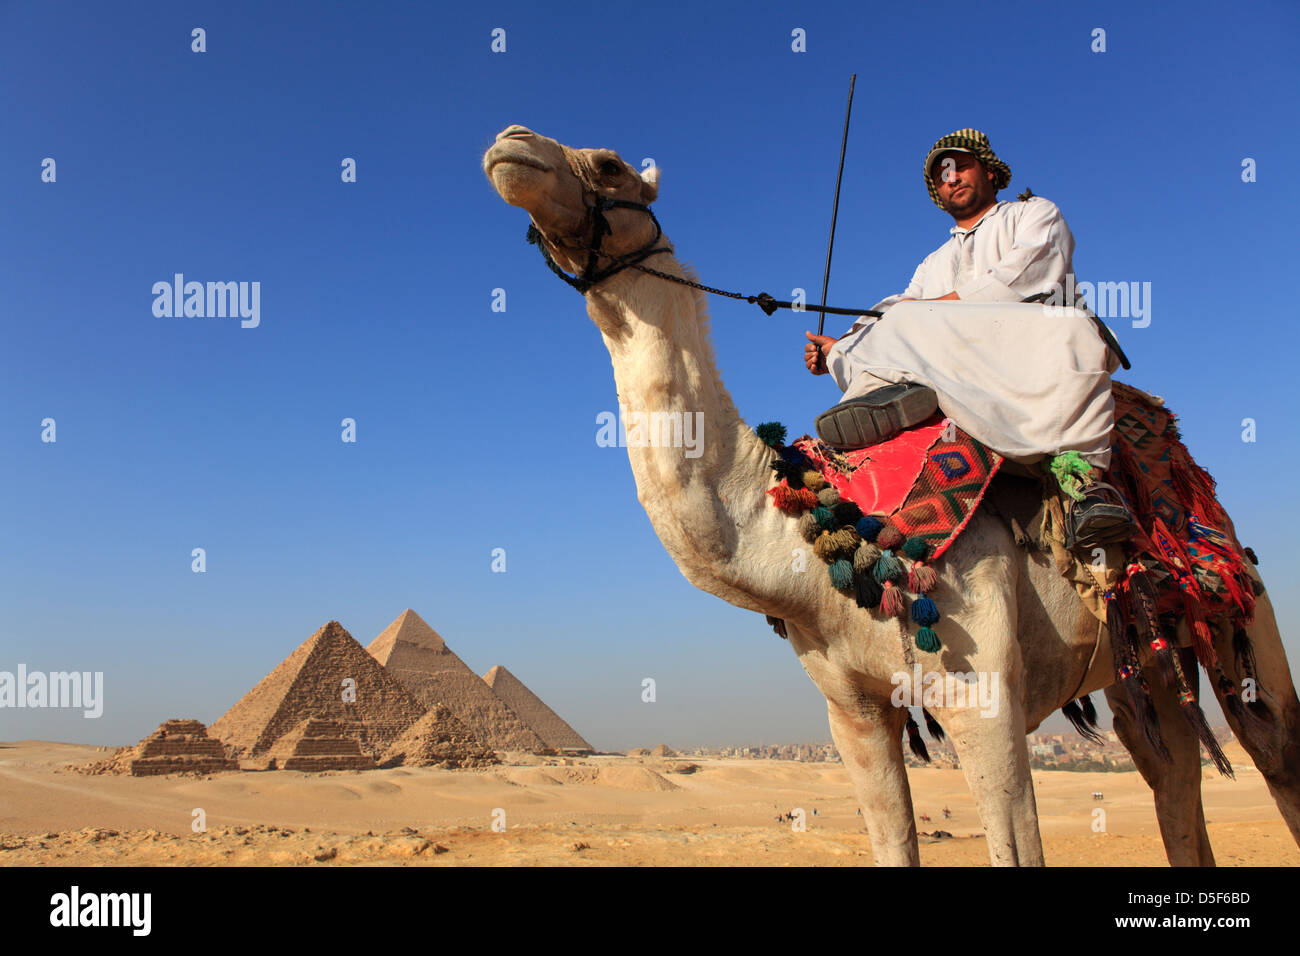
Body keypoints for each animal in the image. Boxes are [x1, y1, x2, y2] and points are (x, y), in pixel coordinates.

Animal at [483, 124, 1300, 866]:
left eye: (610, 164)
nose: (510, 144)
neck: (807, 549)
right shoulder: (853, 714)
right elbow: (891, 840)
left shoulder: (984, 699)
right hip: (1140, 656)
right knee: (1173, 774)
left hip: (1241, 606)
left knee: (1275, 753)